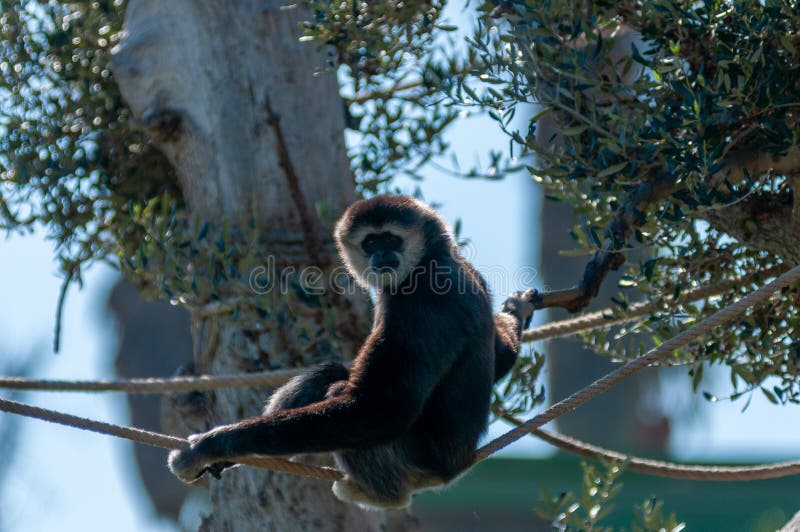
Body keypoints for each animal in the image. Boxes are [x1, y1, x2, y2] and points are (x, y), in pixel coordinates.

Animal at [168, 194, 535, 509]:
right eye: (371, 242)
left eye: (392, 239)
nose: (380, 255)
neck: (433, 258)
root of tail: (453, 469)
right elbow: (501, 355)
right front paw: (518, 312)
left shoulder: (422, 301)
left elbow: (381, 409)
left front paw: (212, 445)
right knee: (328, 374)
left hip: (410, 459)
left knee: (342, 390)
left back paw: (377, 495)